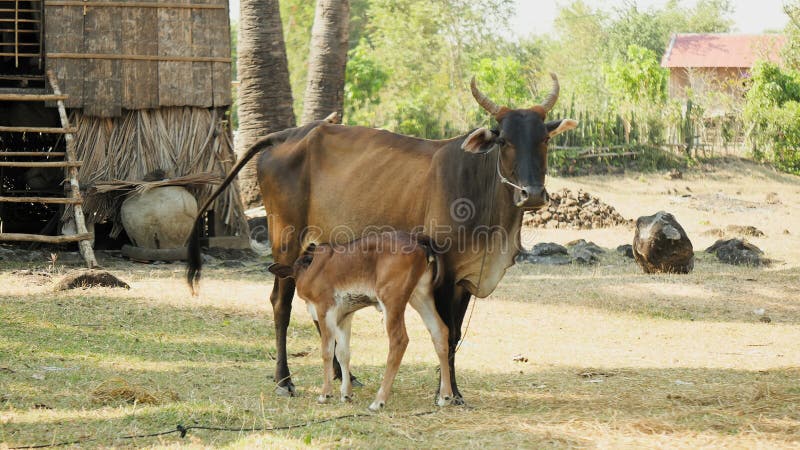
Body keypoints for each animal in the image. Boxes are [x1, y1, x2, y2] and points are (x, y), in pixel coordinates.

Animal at [267, 231, 453, 411]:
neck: (310, 268)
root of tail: (419, 240)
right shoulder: (344, 316)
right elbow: (343, 353)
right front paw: (346, 394)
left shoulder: (324, 309)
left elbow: (327, 352)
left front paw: (325, 394)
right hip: (420, 295)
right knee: (440, 331)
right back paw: (445, 396)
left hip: (391, 298)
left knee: (399, 340)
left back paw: (379, 401)